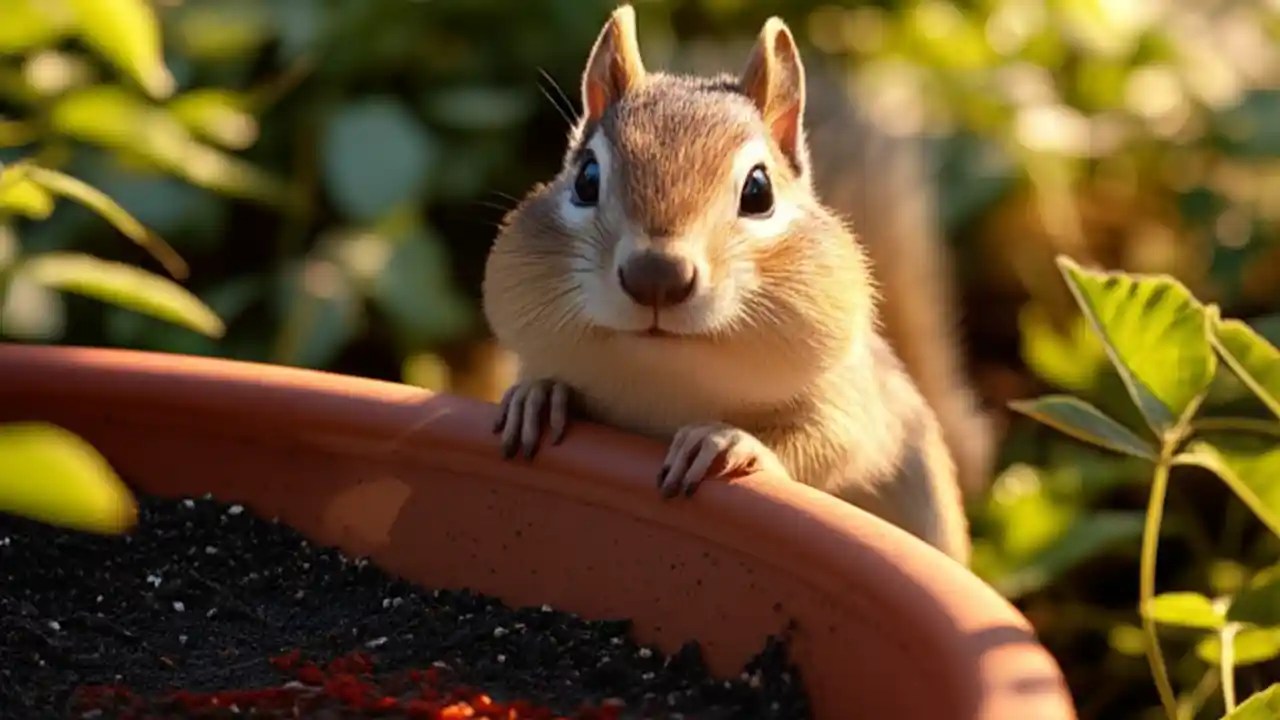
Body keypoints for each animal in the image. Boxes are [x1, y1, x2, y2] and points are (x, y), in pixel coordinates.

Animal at [481, 5, 972, 564]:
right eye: (586, 178)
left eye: (758, 191)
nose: (656, 276)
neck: (666, 377)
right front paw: (538, 397)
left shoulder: (850, 399)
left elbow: (837, 440)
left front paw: (729, 443)